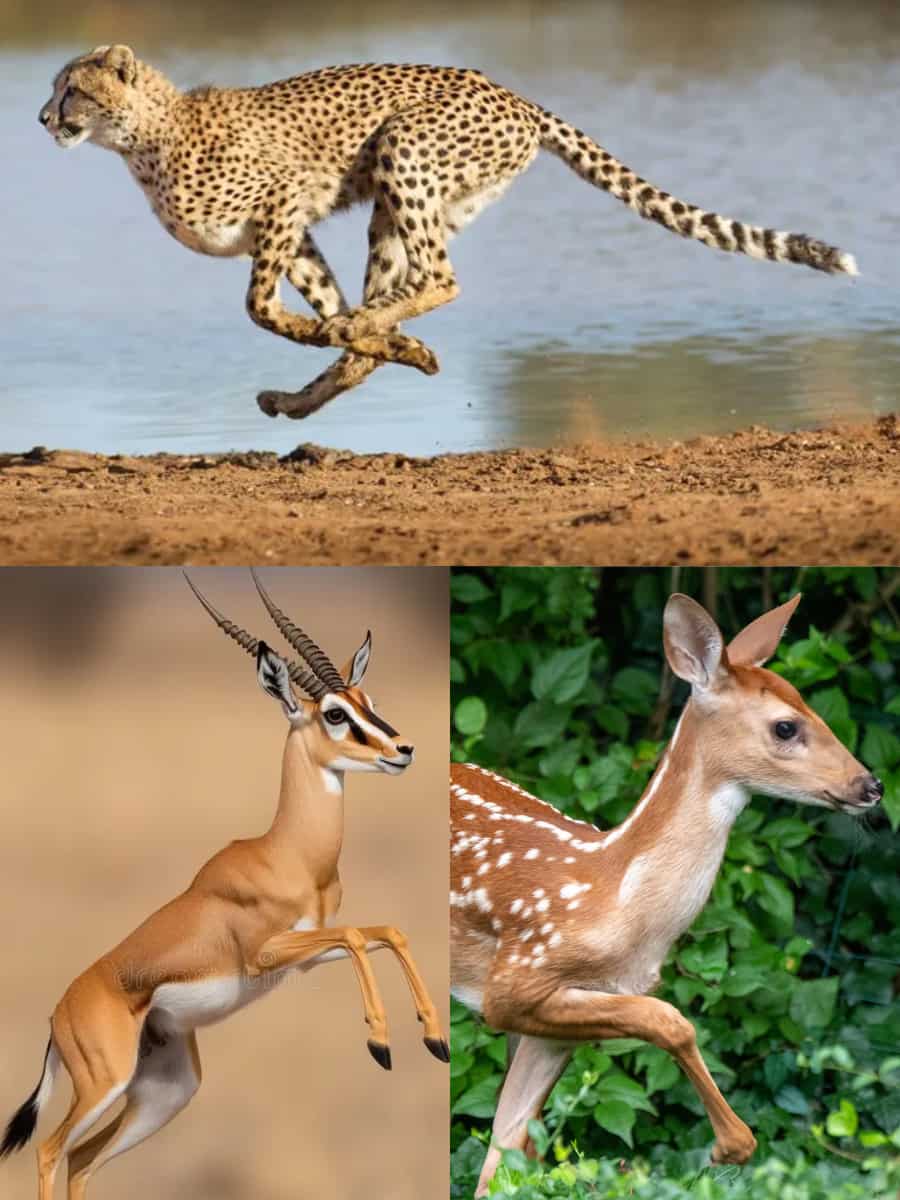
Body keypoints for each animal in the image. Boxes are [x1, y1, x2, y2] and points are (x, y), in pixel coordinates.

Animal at [1, 568, 448, 1200]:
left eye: (370, 704)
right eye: (335, 714)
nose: (402, 750)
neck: (291, 855)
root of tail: (55, 1016)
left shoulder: (307, 953)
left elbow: (385, 931)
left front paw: (433, 1039)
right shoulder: (267, 954)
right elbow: (362, 936)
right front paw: (381, 1045)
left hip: (164, 1093)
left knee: (82, 1158)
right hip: (103, 1083)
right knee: (48, 1149)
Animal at [39, 45, 858, 421]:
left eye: (73, 89)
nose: (44, 118)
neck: (142, 139)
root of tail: (514, 94)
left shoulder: (283, 201)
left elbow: (262, 308)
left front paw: (341, 333)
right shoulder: (293, 228)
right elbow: (320, 307)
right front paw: (372, 345)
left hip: (403, 149)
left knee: (441, 278)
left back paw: (367, 337)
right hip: (404, 204)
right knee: (407, 287)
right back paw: (340, 373)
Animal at [450, 592, 883, 1196]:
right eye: (786, 726)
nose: (871, 785)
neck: (618, 897)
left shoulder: (553, 1028)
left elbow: (506, 1148)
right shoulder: (514, 982)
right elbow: (671, 1020)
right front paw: (731, 1145)